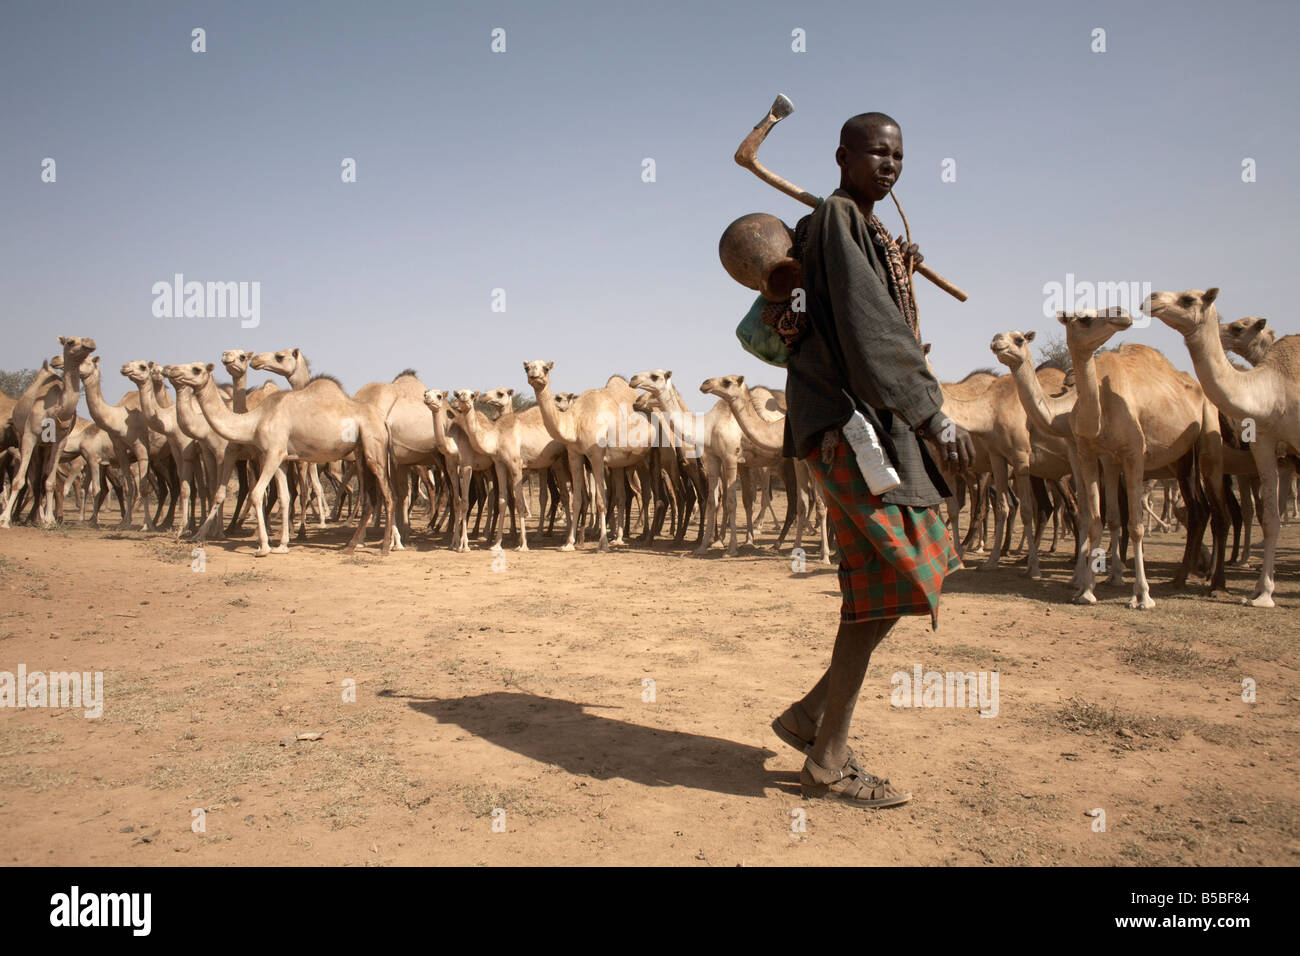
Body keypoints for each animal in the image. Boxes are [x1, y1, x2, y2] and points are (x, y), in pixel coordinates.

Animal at [1, 337, 97, 529]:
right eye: (70, 342)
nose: (90, 342)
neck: (56, 410)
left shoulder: (60, 441)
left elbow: (50, 482)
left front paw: (49, 521)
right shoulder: (30, 435)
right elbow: (18, 480)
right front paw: (5, 520)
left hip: (45, 448)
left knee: (40, 480)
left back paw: (38, 518)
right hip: (26, 439)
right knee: (32, 479)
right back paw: (26, 517)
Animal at [167, 361, 394, 557]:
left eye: (196, 369)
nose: (171, 370)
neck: (256, 420)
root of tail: (382, 420)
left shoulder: (272, 453)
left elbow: (257, 494)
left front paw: (263, 547)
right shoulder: (281, 459)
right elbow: (285, 498)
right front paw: (282, 545)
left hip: (374, 448)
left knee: (387, 494)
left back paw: (383, 547)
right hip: (361, 451)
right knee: (370, 498)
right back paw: (351, 546)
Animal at [1057, 308, 1228, 608]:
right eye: (1085, 318)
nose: (1120, 314)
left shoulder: (1134, 453)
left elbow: (1134, 525)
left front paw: (1142, 596)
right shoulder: (1092, 454)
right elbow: (1096, 521)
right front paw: (1086, 591)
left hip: (1209, 435)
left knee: (1218, 511)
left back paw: (1214, 584)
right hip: (1184, 460)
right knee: (1199, 510)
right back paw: (1183, 577)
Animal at [1144, 287, 1299, 607]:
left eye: (1189, 299)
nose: (1152, 298)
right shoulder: (1264, 449)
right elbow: (1265, 515)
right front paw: (1261, 592)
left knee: (1215, 512)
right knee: (1218, 512)